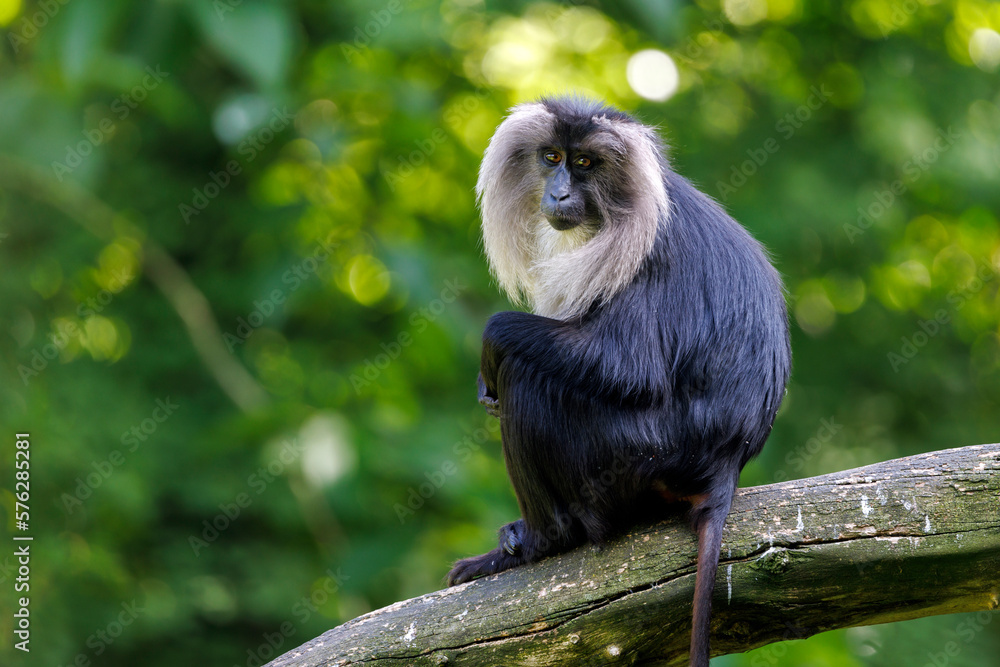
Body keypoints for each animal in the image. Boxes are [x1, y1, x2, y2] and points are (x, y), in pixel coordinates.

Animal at [447, 97, 791, 667]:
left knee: (528, 375)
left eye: (585, 164)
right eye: (552, 157)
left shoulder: (648, 252)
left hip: (628, 456)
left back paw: (540, 543)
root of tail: (724, 467)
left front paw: (492, 347)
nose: (559, 192)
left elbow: (629, 369)